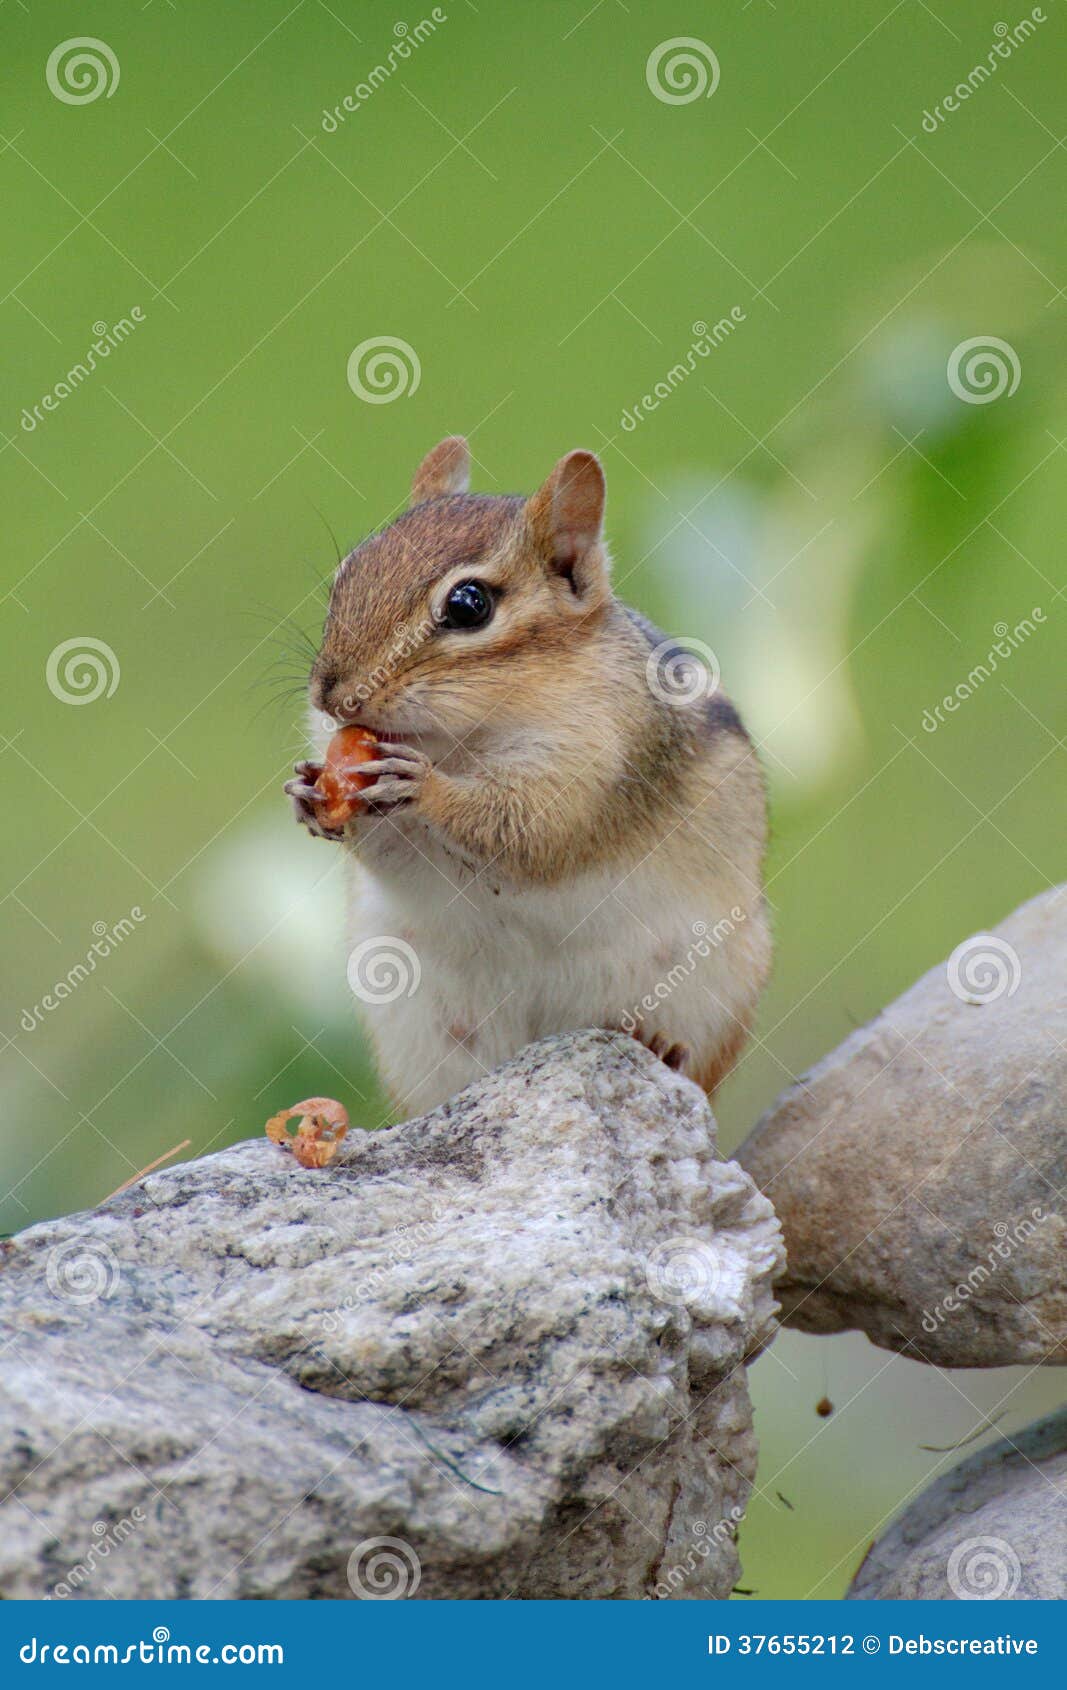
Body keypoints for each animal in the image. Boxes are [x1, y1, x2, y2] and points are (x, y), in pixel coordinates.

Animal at [286, 436, 770, 1119]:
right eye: (343, 578)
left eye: (468, 605)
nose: (331, 697)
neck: (463, 740)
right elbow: (390, 852)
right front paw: (309, 792)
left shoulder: (597, 762)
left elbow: (529, 829)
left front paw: (422, 787)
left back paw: (660, 1046)